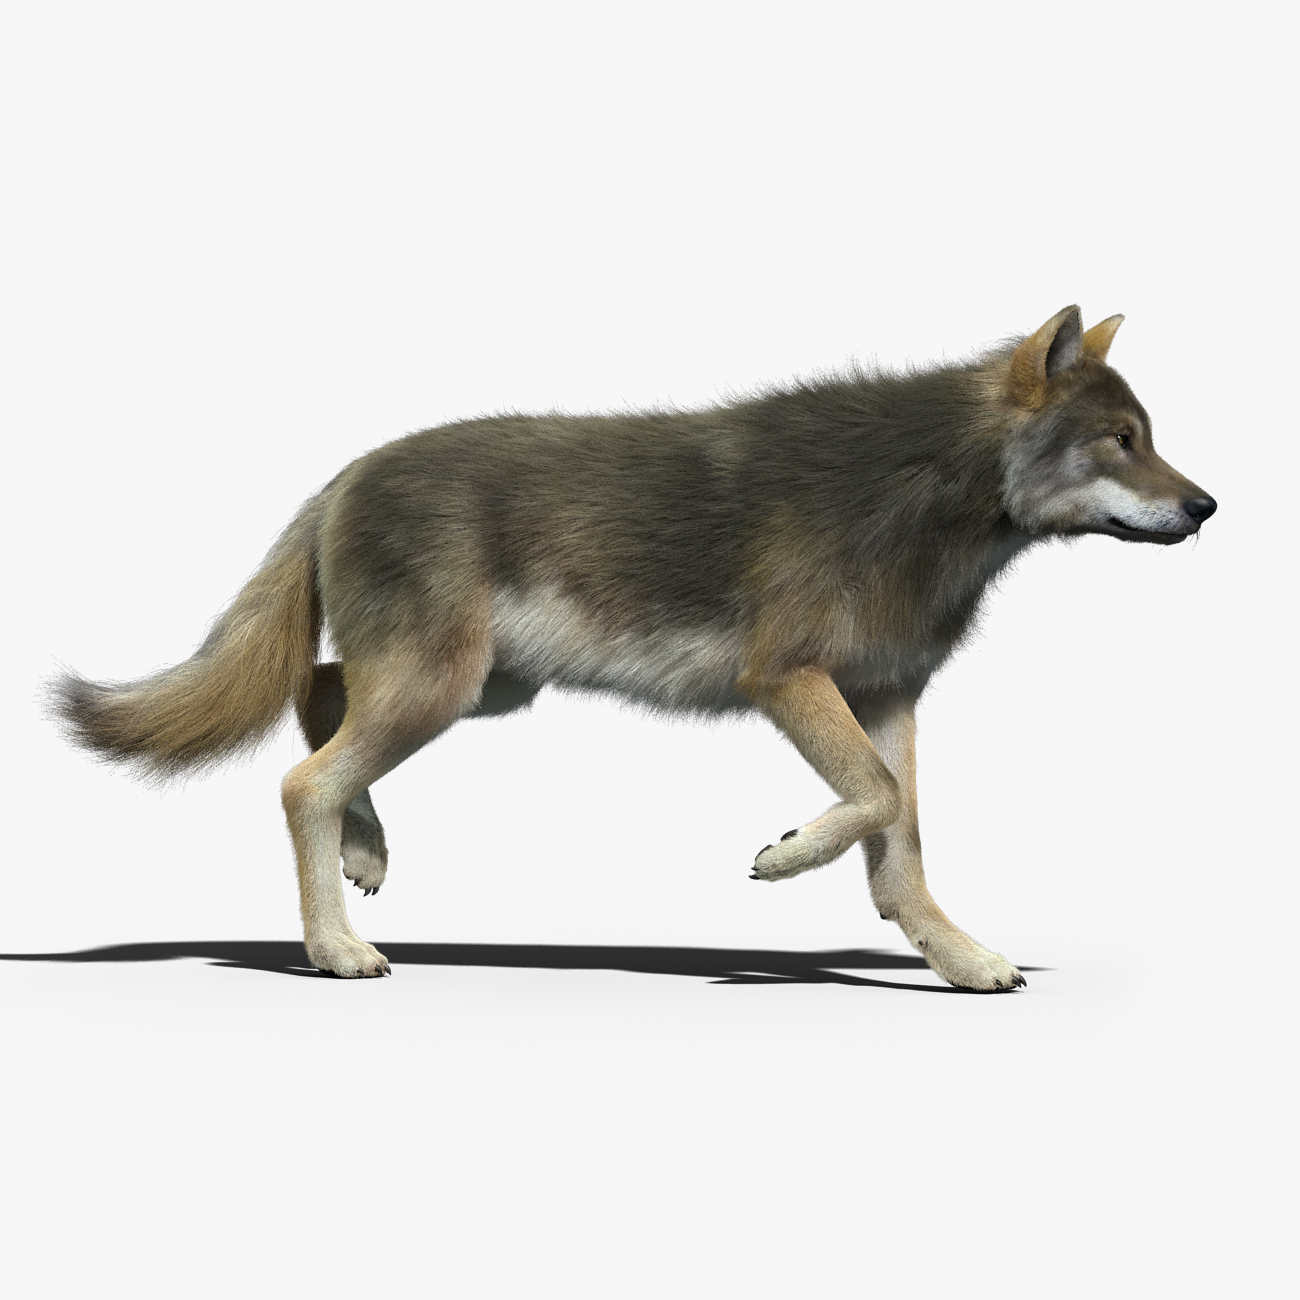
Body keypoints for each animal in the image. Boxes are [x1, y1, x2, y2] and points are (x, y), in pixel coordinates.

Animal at [51, 306, 1215, 989]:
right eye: (1121, 442)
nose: (1207, 506)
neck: (928, 493)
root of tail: (341, 475)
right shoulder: (786, 680)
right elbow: (877, 801)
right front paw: (785, 854)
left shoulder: (887, 695)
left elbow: (902, 842)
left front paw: (957, 957)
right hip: (442, 690)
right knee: (302, 779)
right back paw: (337, 947)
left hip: (477, 689)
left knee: (318, 699)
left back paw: (367, 851)